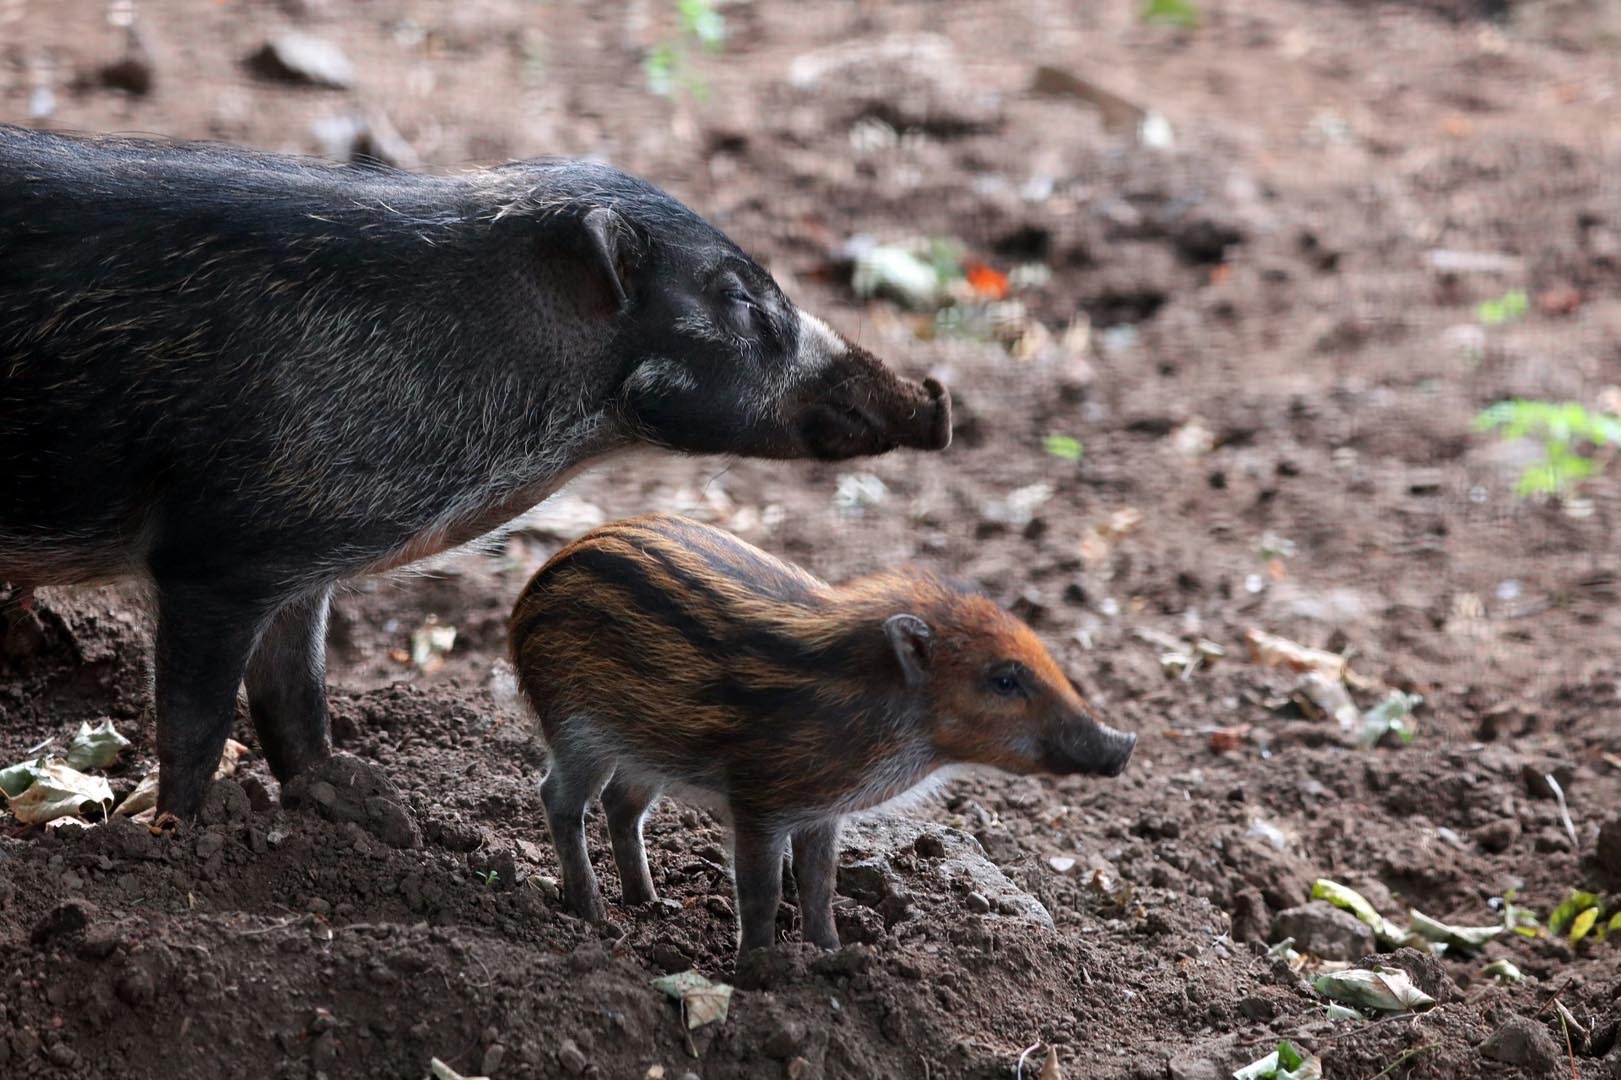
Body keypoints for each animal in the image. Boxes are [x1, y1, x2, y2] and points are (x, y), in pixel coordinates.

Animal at [0, 125, 952, 825]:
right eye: (739, 297)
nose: (935, 400)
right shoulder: (215, 555)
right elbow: (196, 723)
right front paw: (178, 836)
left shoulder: (299, 564)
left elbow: (295, 700)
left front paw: (369, 809)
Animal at [509, 514, 1136, 957]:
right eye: (1004, 679)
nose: (1124, 744)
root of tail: (532, 586)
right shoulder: (759, 801)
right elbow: (761, 890)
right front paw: (758, 968)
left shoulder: (819, 811)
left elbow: (819, 883)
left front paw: (831, 954)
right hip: (578, 731)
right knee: (559, 799)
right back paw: (593, 913)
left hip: (645, 748)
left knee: (621, 804)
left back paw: (650, 903)